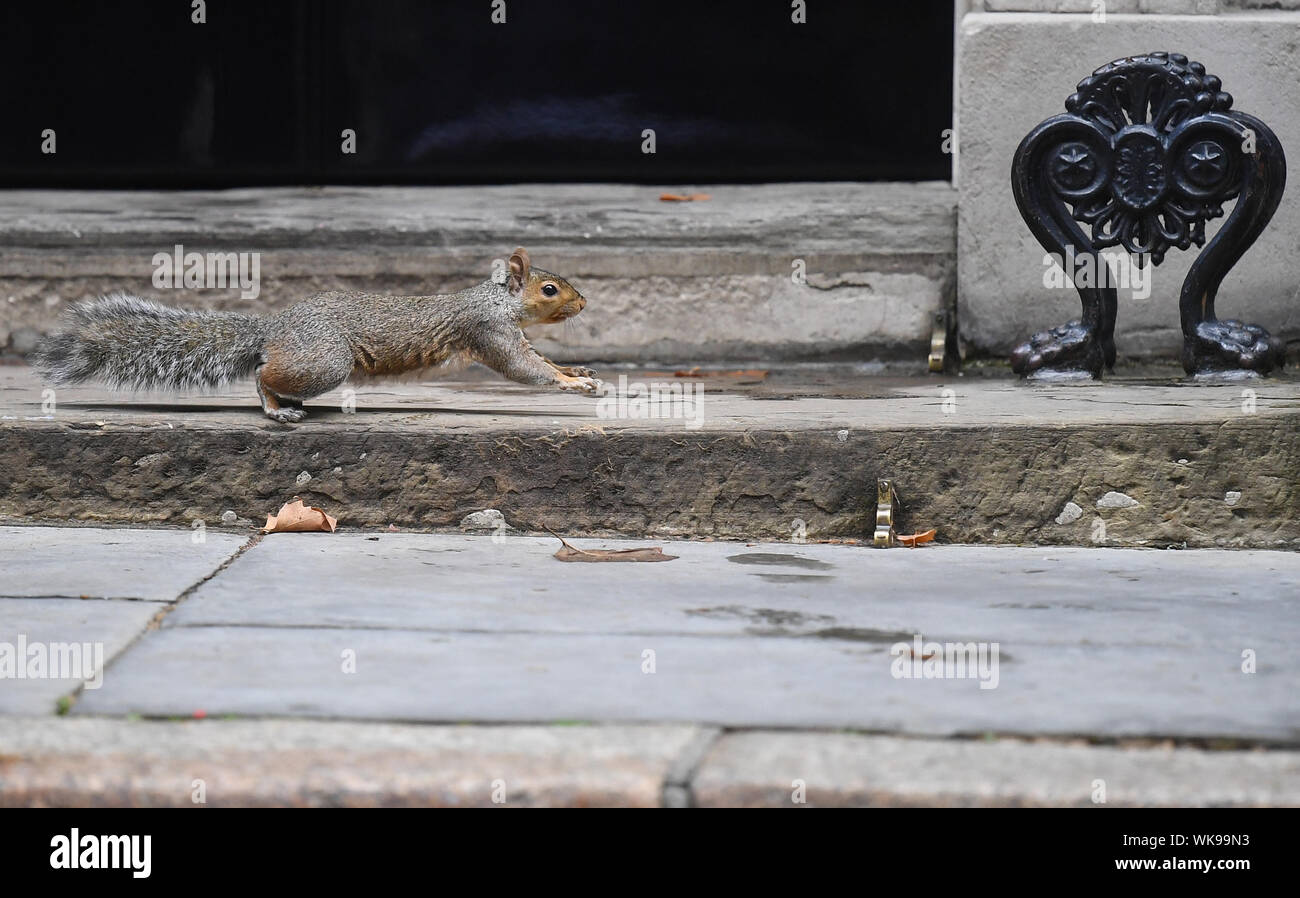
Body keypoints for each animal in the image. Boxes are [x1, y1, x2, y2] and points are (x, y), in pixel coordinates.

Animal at [31, 247, 599, 423]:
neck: (497, 300)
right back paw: (275, 407)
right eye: (550, 289)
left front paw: (578, 371)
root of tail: (275, 327)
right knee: (263, 373)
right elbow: (525, 370)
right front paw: (574, 386)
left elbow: (542, 361)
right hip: (324, 361)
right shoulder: (488, 331)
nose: (584, 304)